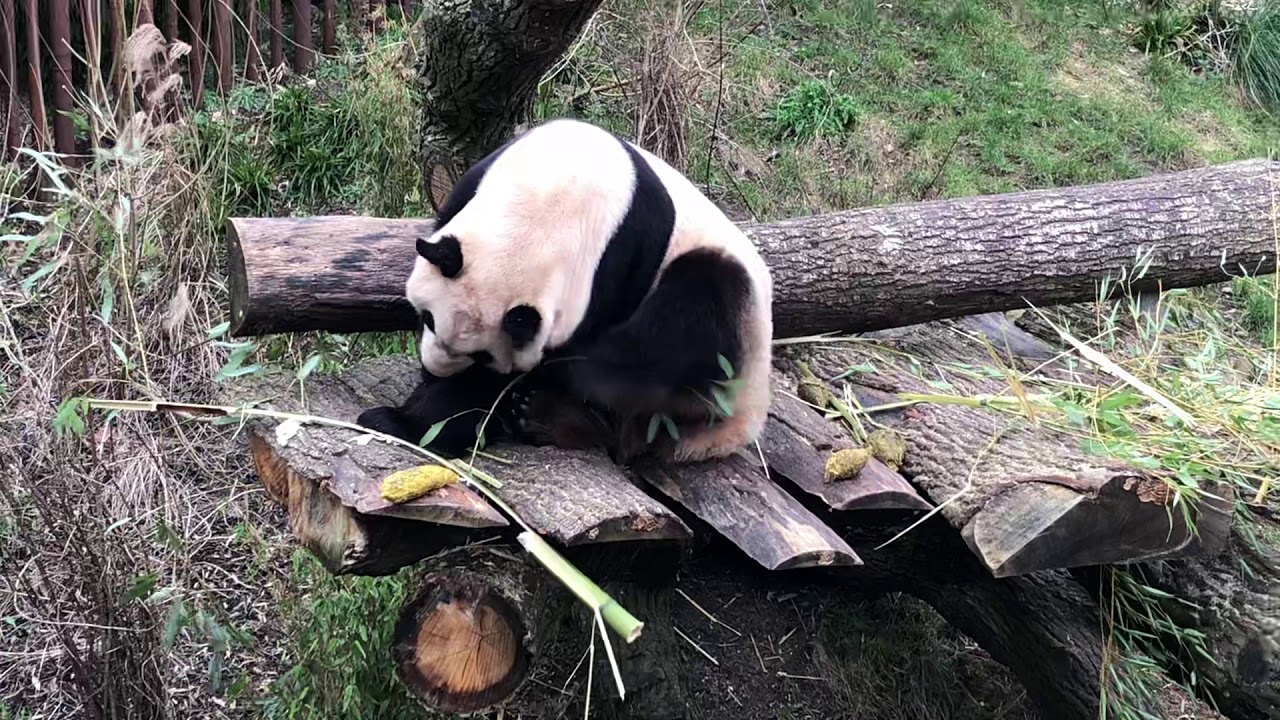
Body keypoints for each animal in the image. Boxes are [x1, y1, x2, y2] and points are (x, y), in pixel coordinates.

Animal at [356, 118, 774, 464]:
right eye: (426, 317)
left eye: (480, 356)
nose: (434, 368)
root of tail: (743, 427)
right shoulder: (480, 179)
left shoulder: (619, 263)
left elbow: (500, 381)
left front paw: (410, 422)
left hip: (725, 362)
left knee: (688, 321)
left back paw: (549, 415)